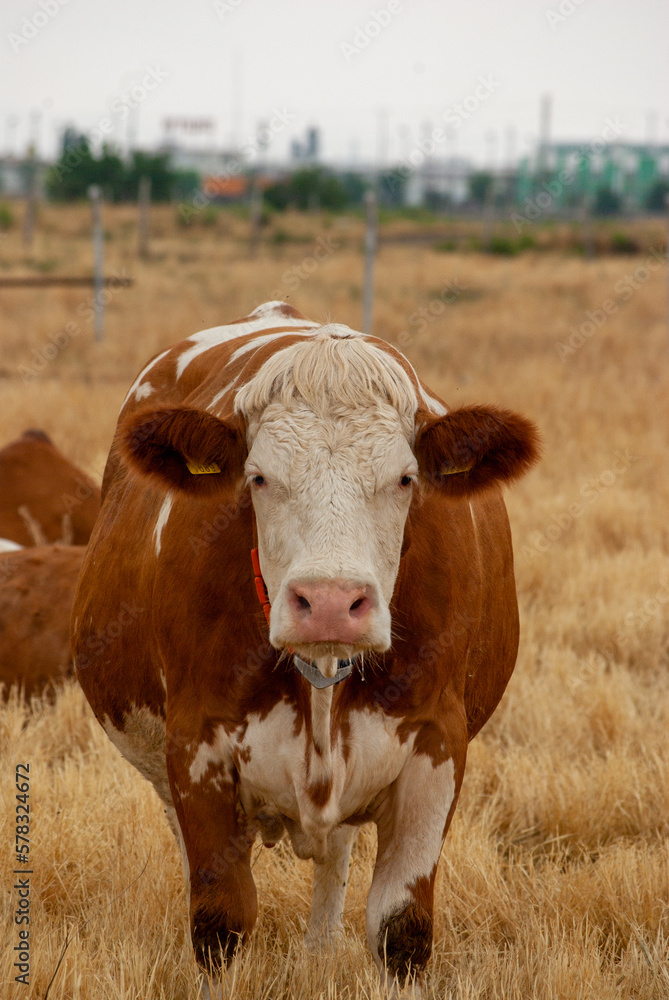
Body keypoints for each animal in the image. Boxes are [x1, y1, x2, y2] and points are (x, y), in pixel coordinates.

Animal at [72, 300, 539, 995]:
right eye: (259, 478)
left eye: (405, 478)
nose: (329, 601)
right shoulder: (196, 746)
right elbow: (219, 921)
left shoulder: (436, 749)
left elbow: (401, 929)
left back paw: (319, 951)